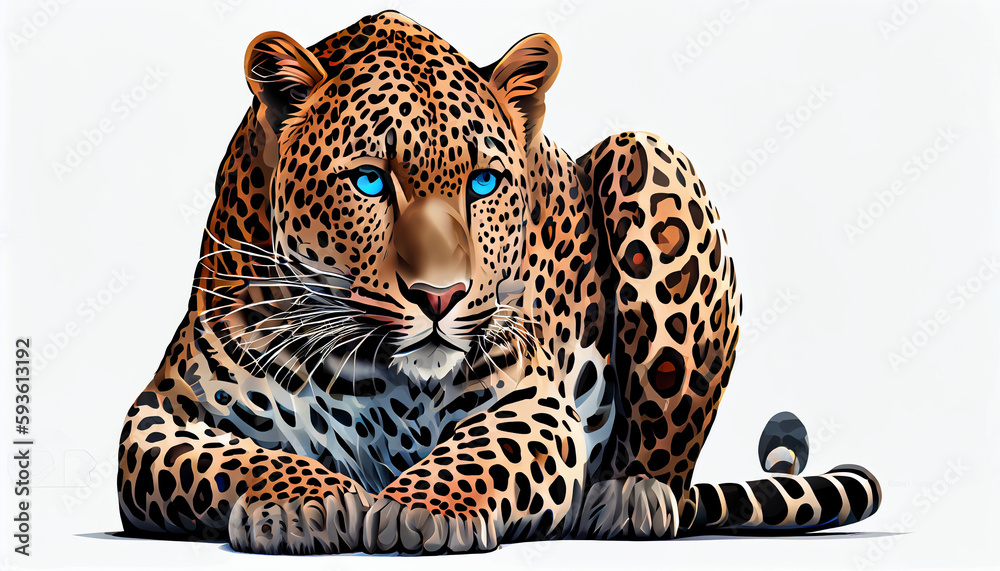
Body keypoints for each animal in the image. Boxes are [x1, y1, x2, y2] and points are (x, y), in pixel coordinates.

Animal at [117, 11, 881, 555]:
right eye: (370, 180)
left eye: (483, 182)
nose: (439, 298)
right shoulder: (160, 416)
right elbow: (232, 456)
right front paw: (305, 500)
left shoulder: (533, 401)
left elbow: (484, 451)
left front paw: (419, 508)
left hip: (648, 154)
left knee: (668, 451)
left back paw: (630, 499)